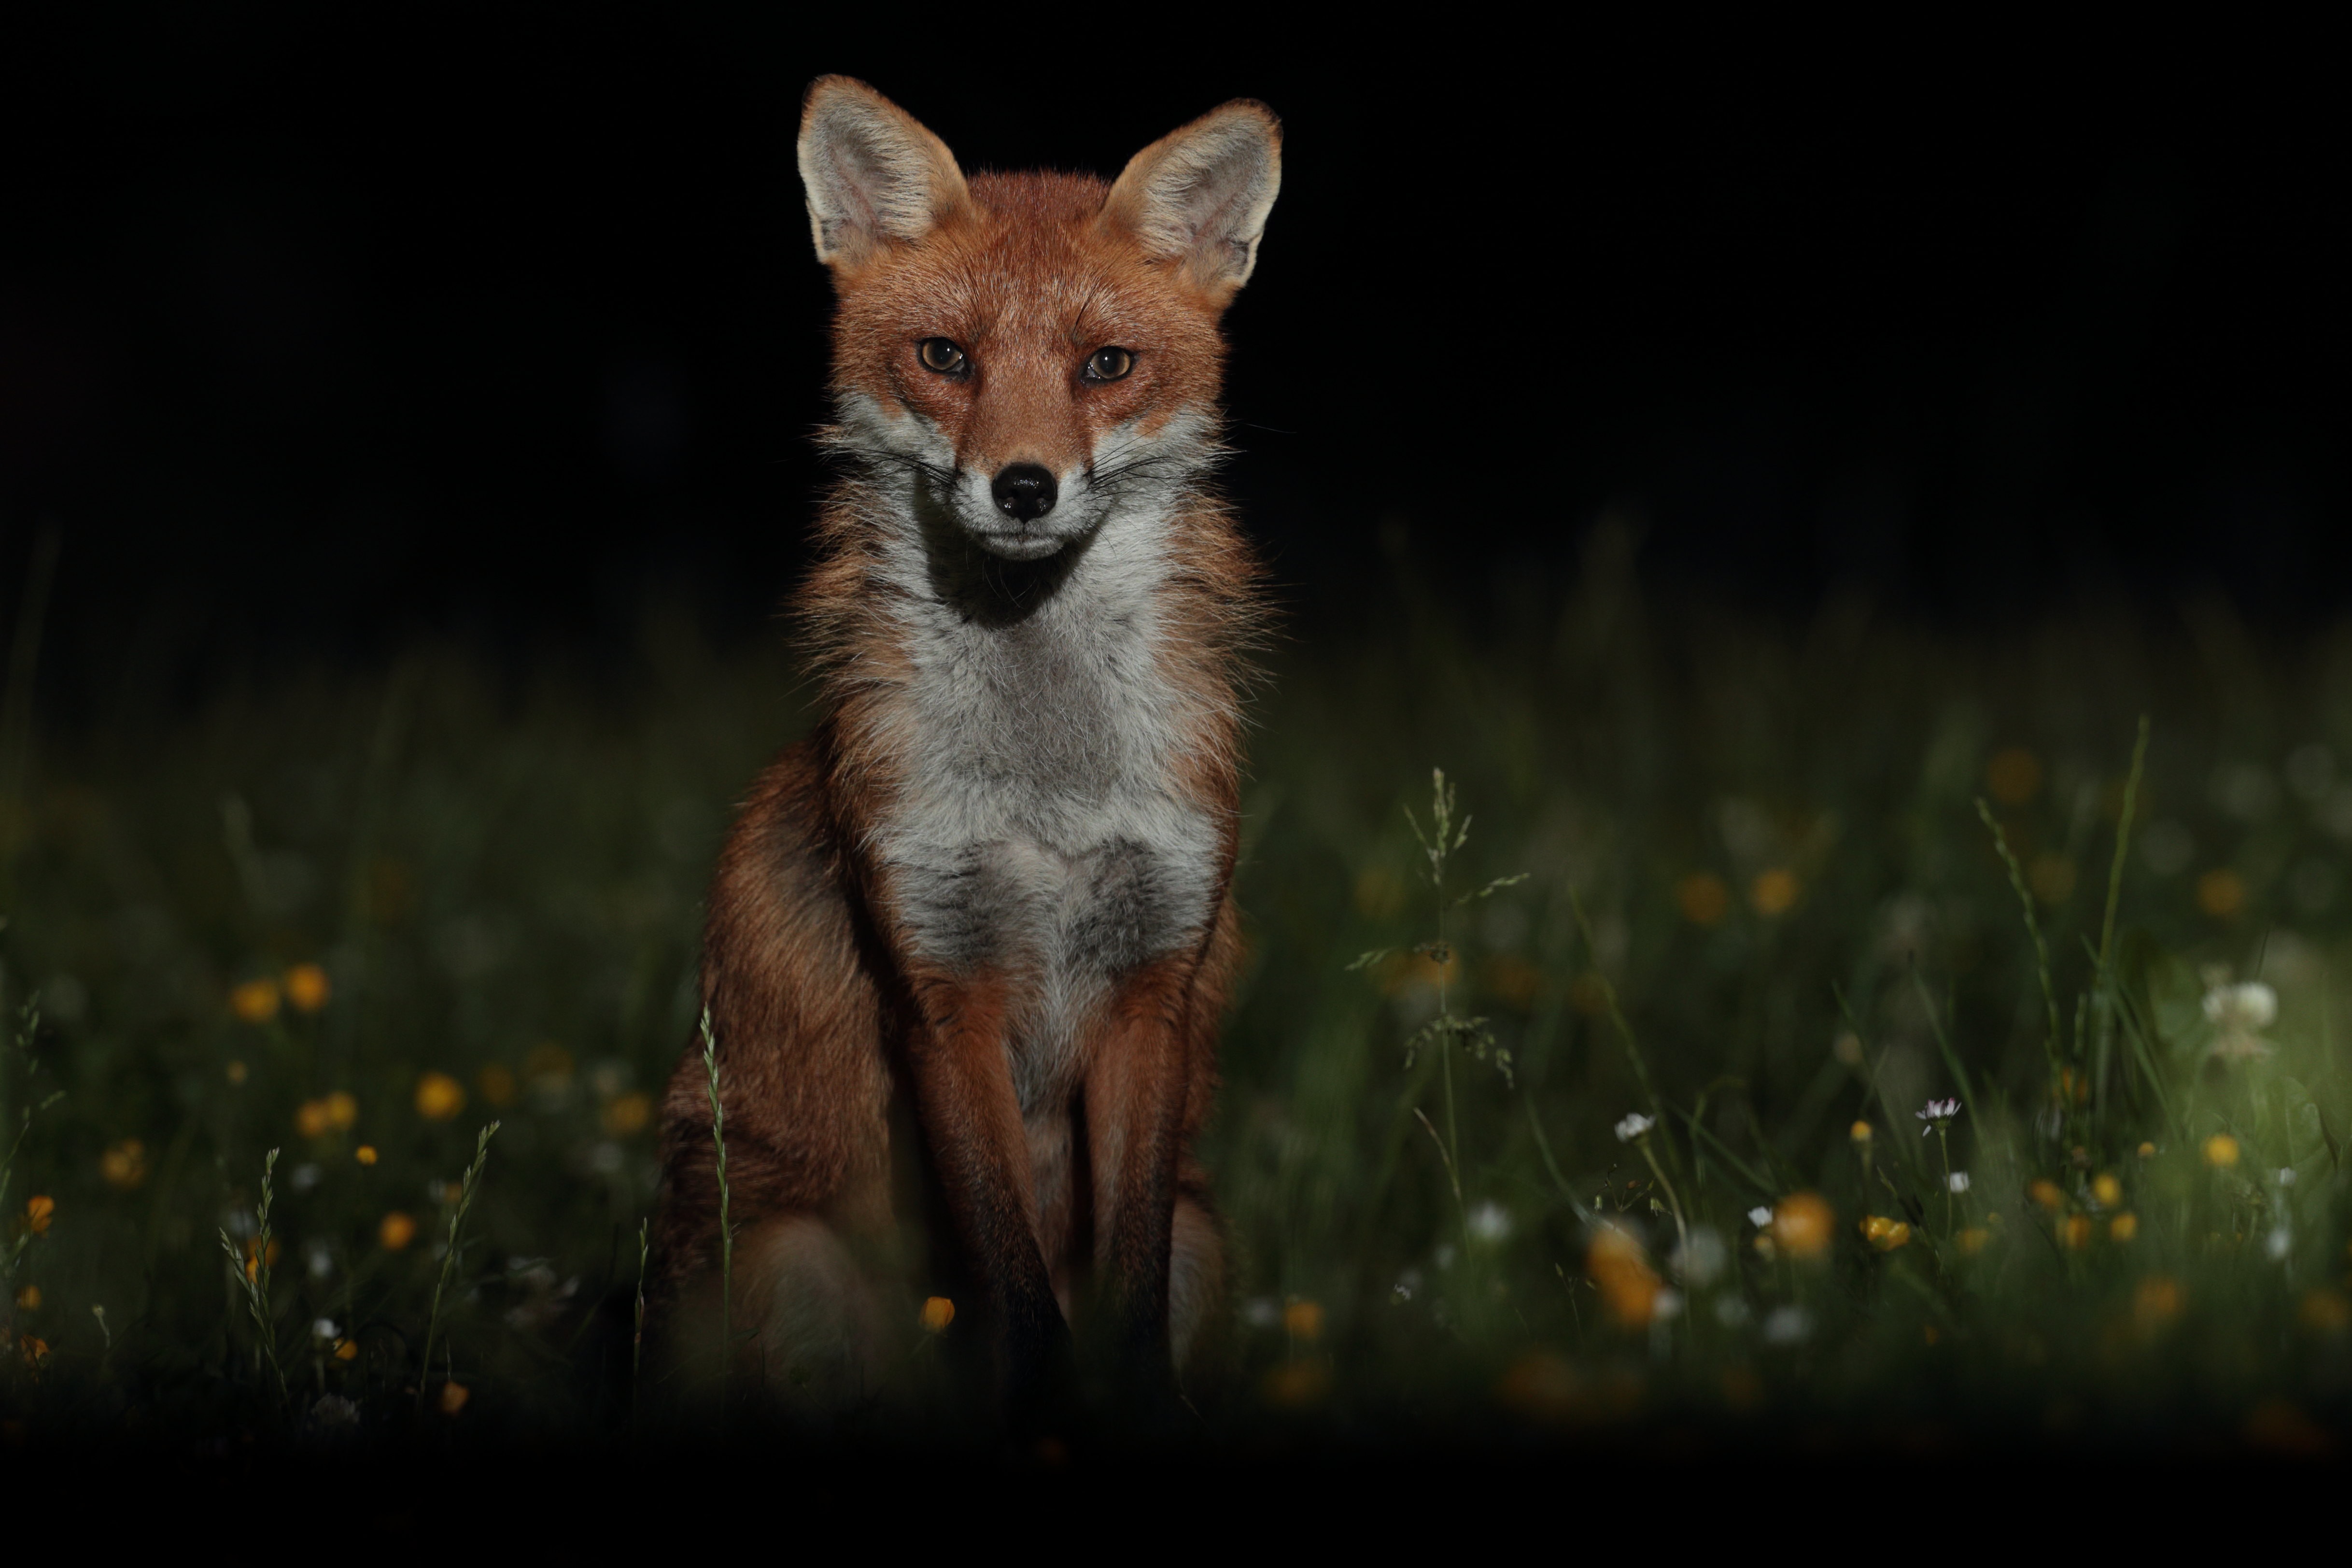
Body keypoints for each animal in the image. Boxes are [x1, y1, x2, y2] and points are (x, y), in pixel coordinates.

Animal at [646, 76, 1280, 1422]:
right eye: (946, 357)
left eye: (1105, 365)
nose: (1024, 486)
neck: (1048, 800)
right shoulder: (939, 992)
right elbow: (1016, 1291)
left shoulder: (1151, 984)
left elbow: (1123, 1288)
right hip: (789, 1262)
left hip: (1208, 1239)